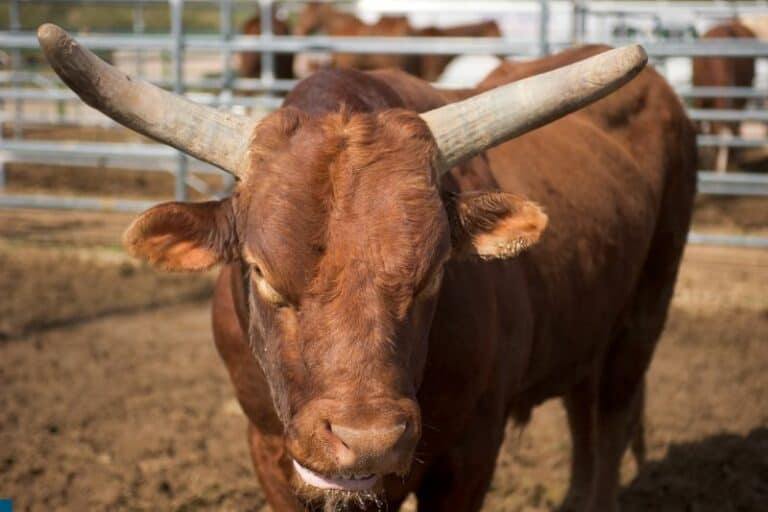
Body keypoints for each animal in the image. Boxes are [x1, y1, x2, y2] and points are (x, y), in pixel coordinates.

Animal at [38, 23, 697, 512]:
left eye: (435, 273)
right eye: (260, 272)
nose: (367, 441)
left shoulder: (472, 451)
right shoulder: (268, 449)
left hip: (647, 310)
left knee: (610, 418)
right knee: (583, 410)